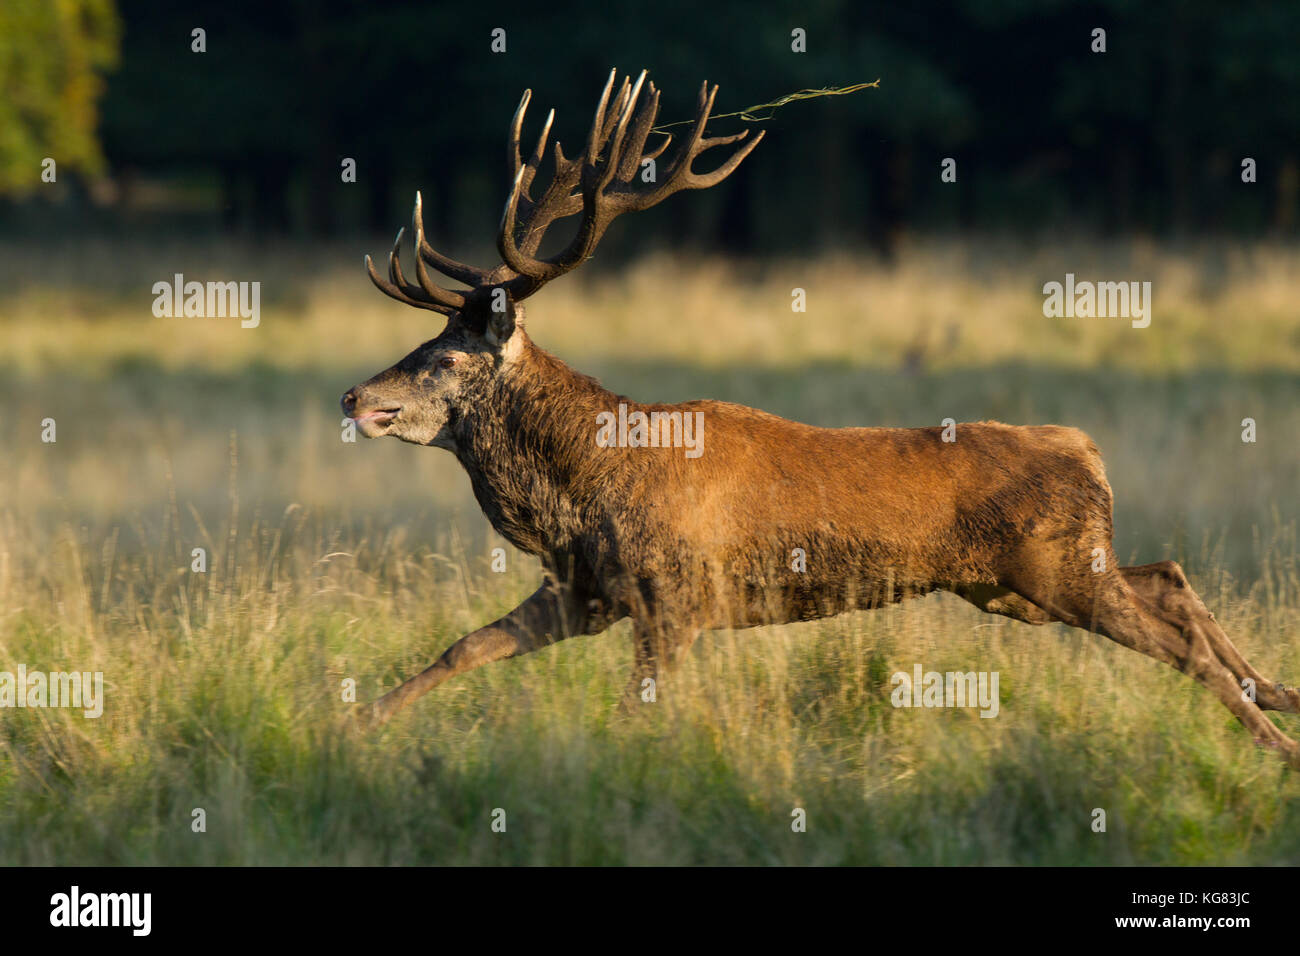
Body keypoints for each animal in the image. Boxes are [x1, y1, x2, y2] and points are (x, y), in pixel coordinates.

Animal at [341, 69, 1300, 767]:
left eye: (443, 357)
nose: (354, 396)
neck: (581, 491)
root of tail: (1088, 448)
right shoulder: (586, 589)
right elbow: (465, 647)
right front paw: (351, 725)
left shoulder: (676, 595)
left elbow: (632, 712)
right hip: (1021, 583)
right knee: (1170, 576)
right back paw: (1279, 695)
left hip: (1053, 568)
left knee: (1178, 637)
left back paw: (1275, 744)